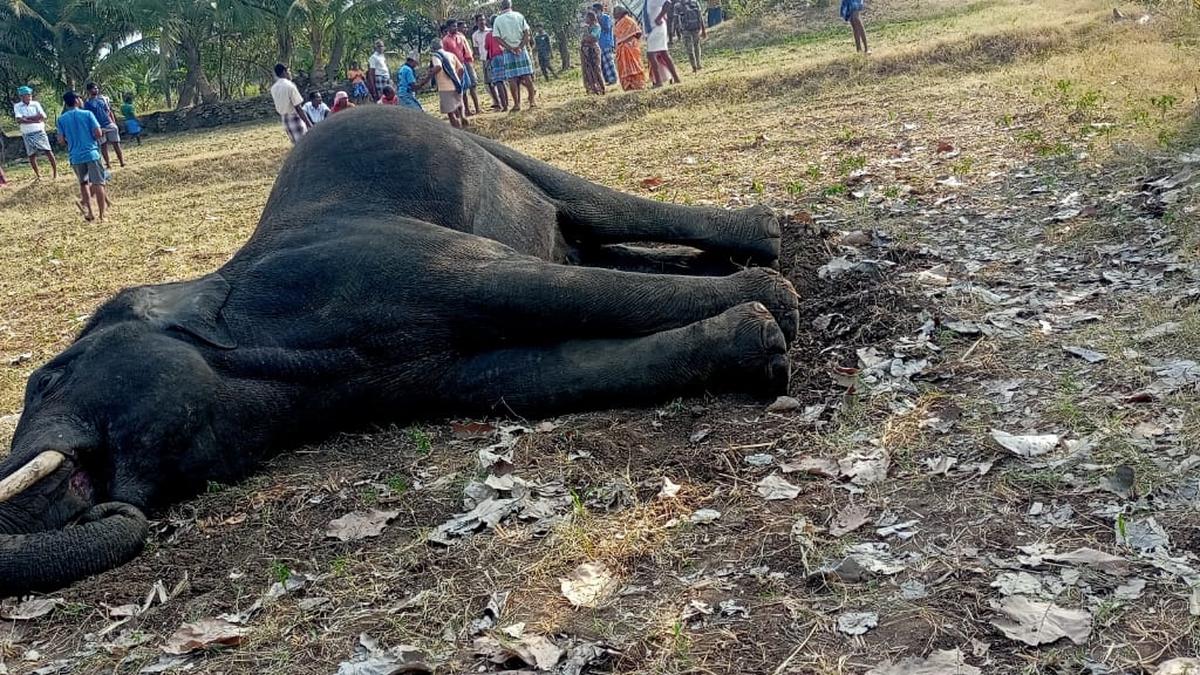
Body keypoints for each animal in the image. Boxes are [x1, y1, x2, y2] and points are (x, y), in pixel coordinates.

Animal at [0, 105, 799, 597]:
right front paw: (759, 339)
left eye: (48, 379)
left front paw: (777, 311)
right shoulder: (407, 375)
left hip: (477, 144)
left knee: (588, 212)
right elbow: (526, 374)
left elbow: (517, 288)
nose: (103, 512)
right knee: (593, 248)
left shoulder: (376, 260)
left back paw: (767, 241)